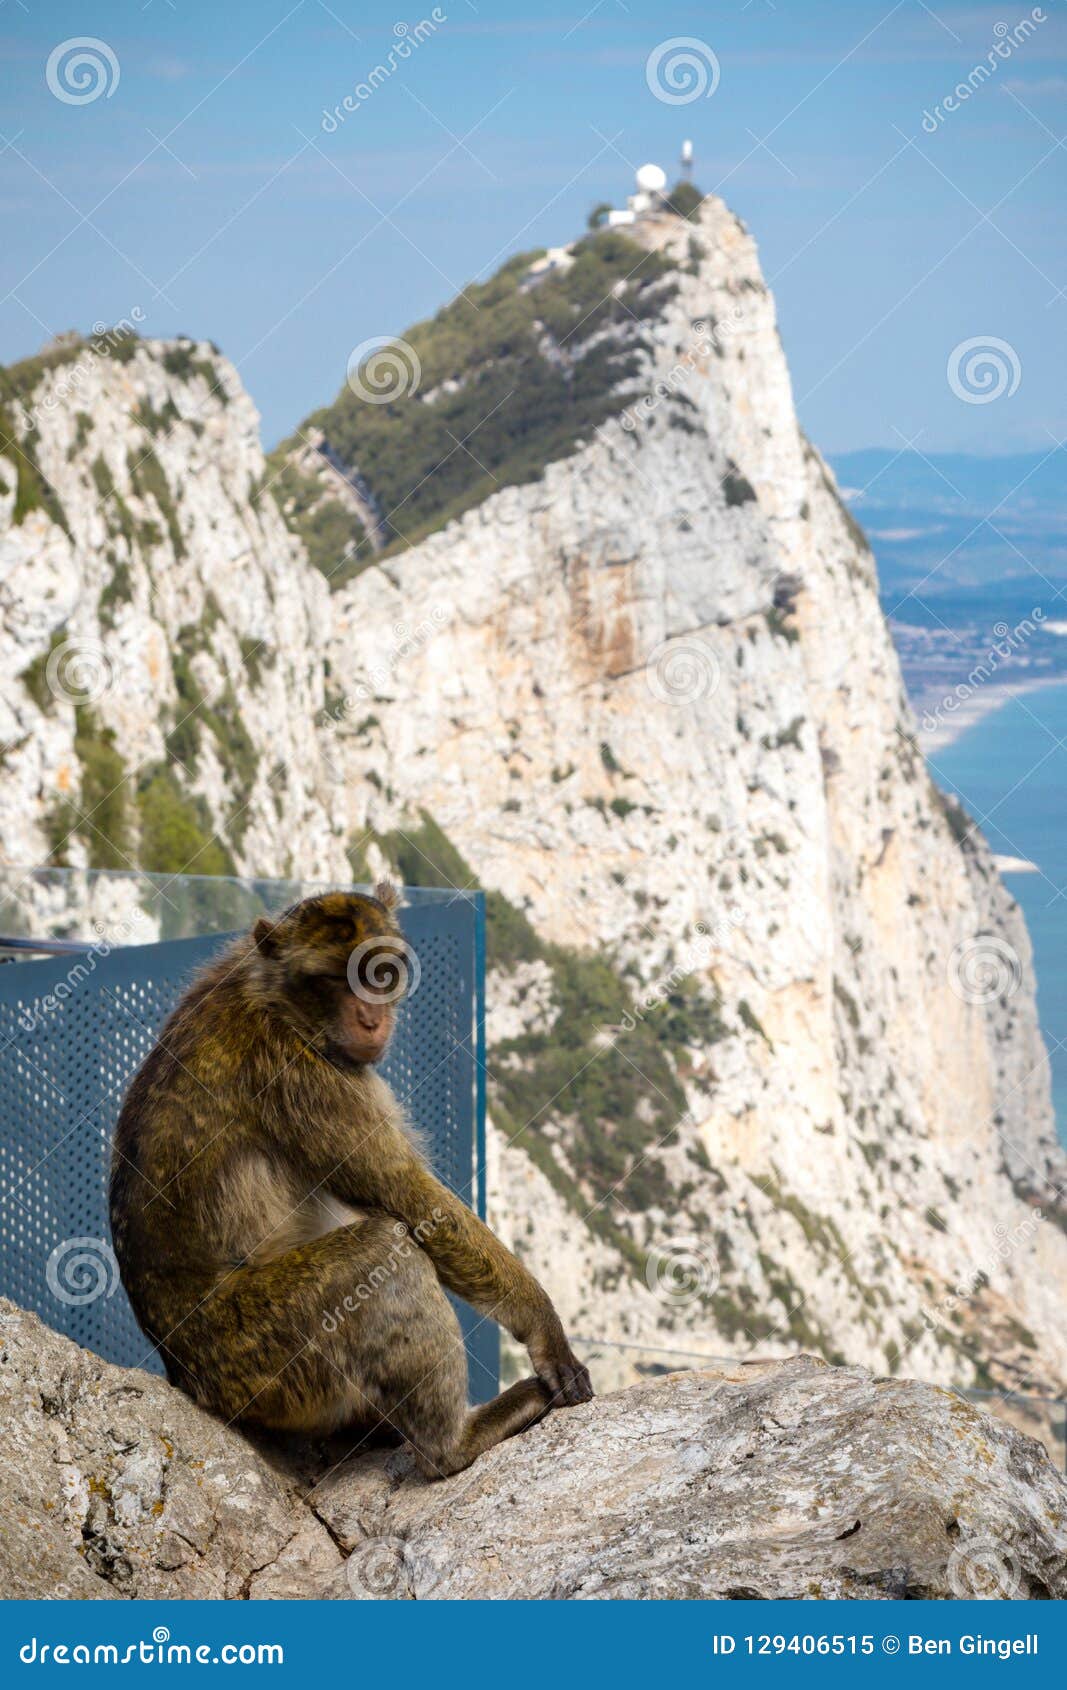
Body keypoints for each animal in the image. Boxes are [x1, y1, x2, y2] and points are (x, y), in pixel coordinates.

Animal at [109, 886, 593, 1479]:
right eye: (334, 980)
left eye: (381, 975)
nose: (369, 1018)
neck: (277, 1002)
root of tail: (183, 1375)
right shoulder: (302, 1074)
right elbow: (416, 1205)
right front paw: (546, 1328)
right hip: (258, 1355)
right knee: (382, 1251)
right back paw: (454, 1441)